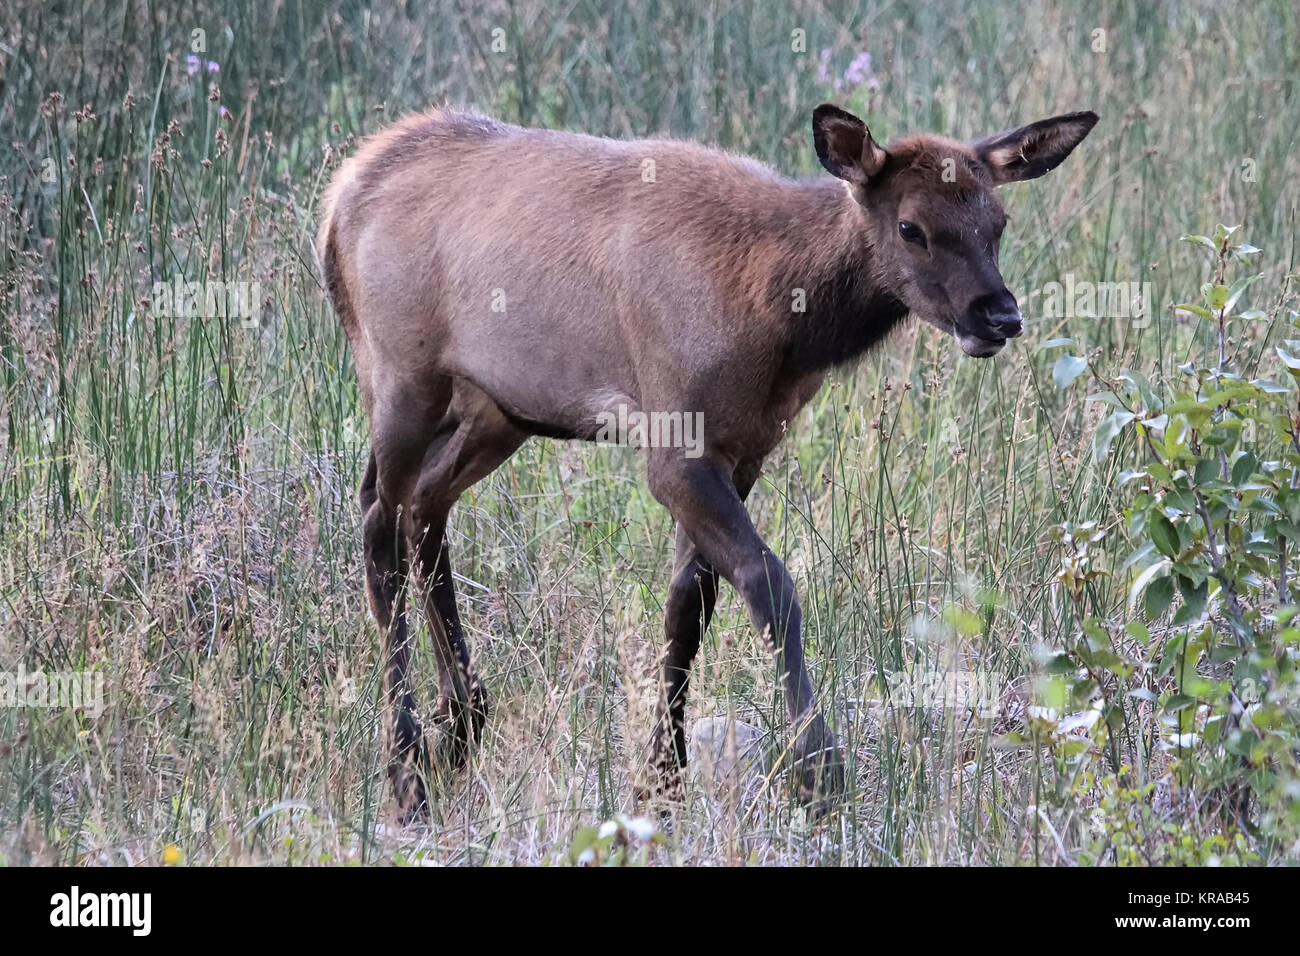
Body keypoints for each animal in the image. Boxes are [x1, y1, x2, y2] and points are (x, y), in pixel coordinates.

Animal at [316, 102, 1097, 819]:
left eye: (997, 222)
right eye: (911, 226)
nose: (999, 316)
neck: (781, 319)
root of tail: (337, 201)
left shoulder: (745, 446)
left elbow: (689, 604)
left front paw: (660, 781)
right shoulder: (675, 445)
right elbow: (767, 581)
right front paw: (818, 773)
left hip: (495, 408)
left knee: (424, 506)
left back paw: (461, 728)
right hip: (400, 374)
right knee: (377, 520)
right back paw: (406, 772)